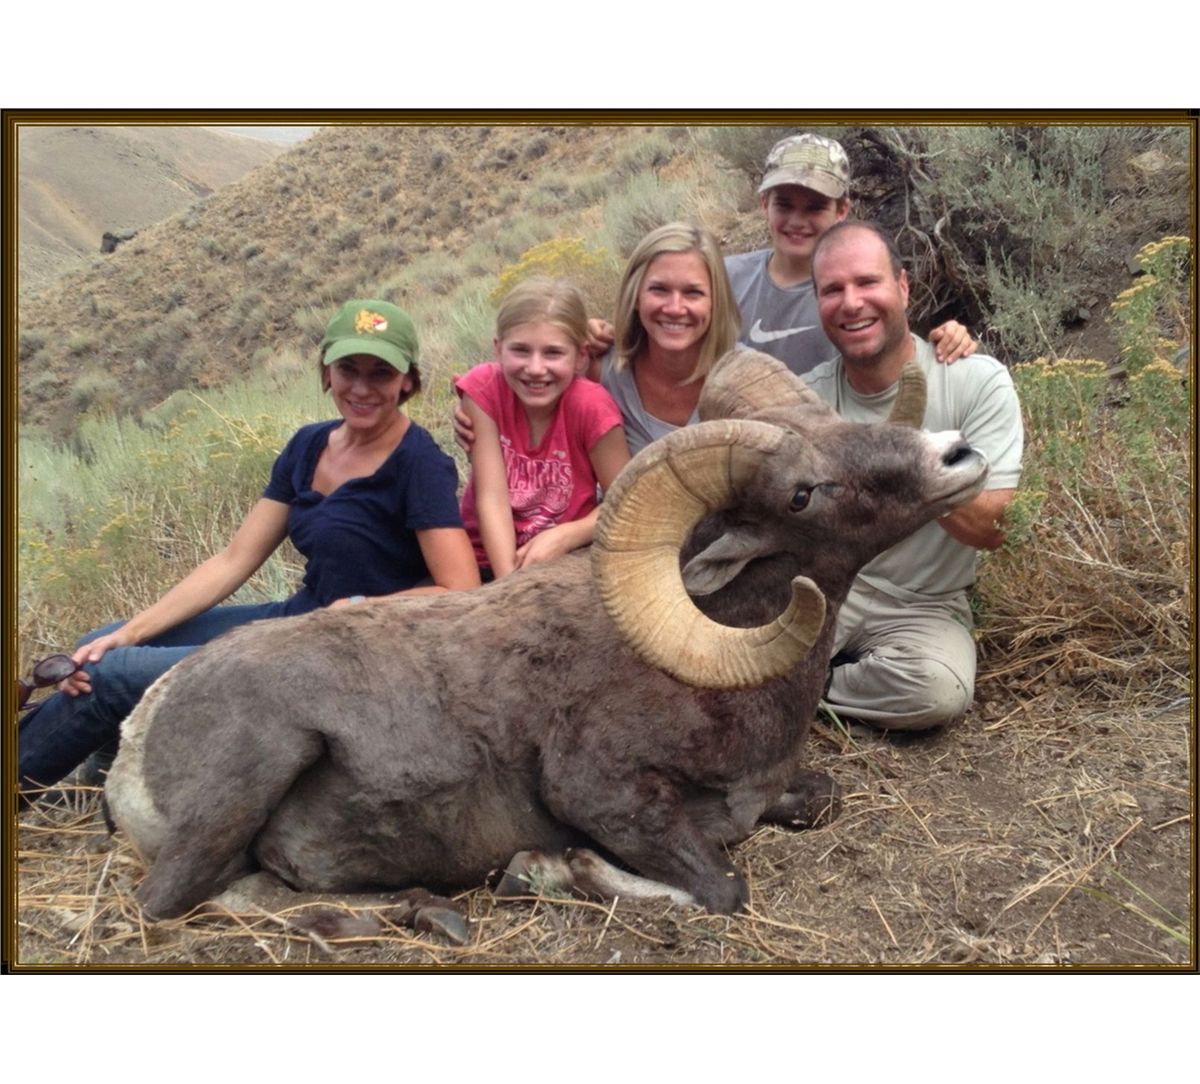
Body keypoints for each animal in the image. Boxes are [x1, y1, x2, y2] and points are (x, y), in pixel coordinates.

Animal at [105, 349, 988, 939]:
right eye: (803, 494)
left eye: (837, 425)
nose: (958, 457)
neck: (721, 681)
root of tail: (136, 739)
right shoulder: (599, 794)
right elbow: (722, 890)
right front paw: (550, 870)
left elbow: (815, 801)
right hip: (258, 767)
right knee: (175, 906)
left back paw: (425, 913)